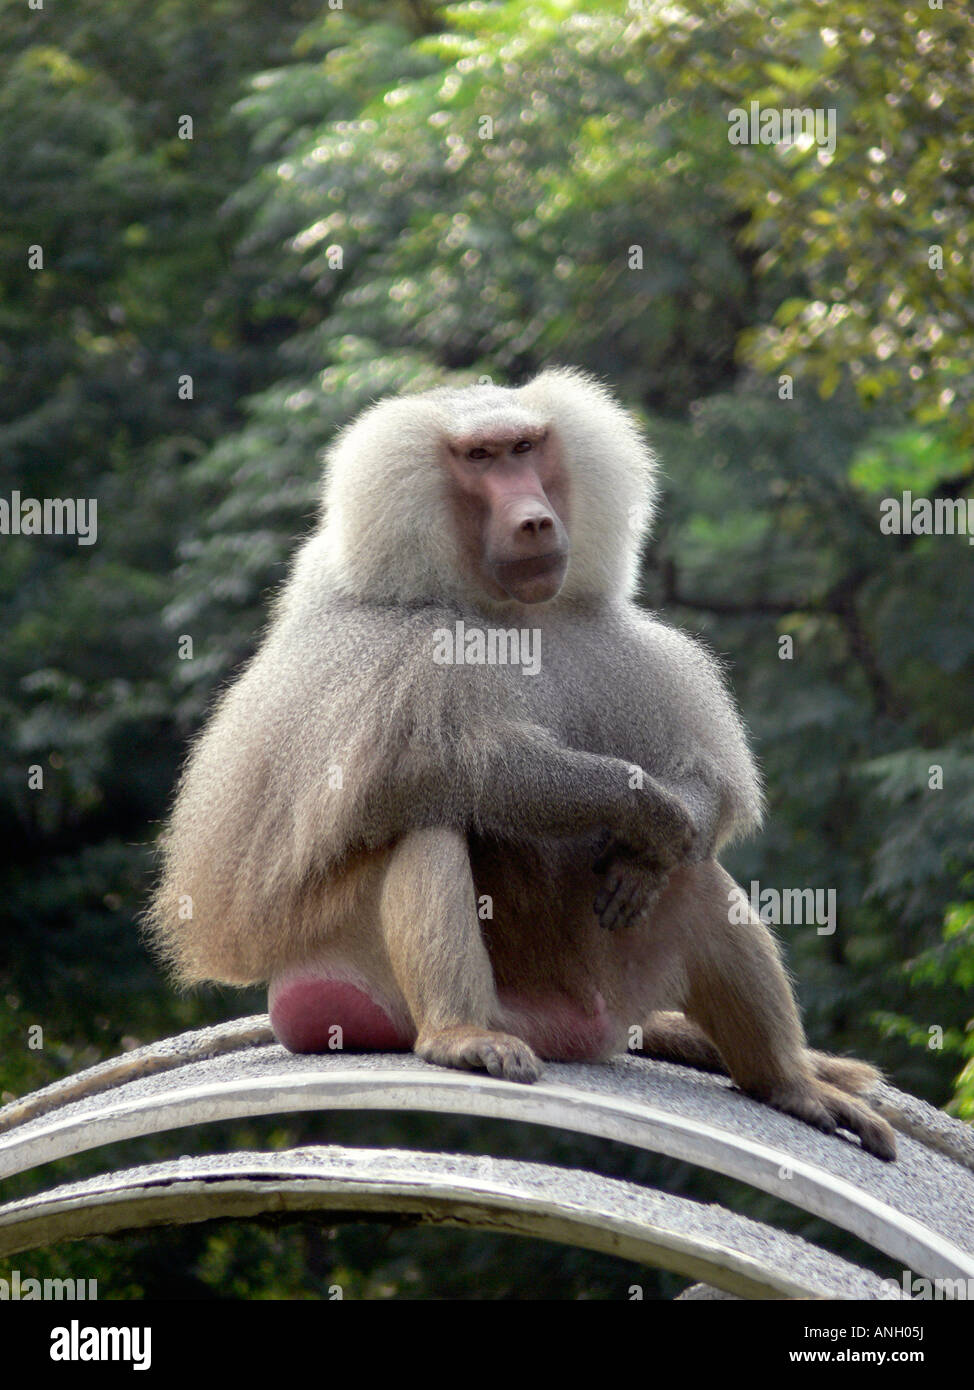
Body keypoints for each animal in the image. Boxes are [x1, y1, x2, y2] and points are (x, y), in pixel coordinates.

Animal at [145, 368, 896, 1161]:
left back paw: (790, 1086)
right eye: (479, 457)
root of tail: (577, 1029)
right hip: (353, 978)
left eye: (527, 447)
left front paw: (658, 836)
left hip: (607, 987)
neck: (507, 615)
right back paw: (462, 1036)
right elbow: (465, 770)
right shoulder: (393, 649)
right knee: (430, 822)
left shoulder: (604, 643)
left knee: (695, 880)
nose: (534, 520)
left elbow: (702, 789)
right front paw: (643, 807)